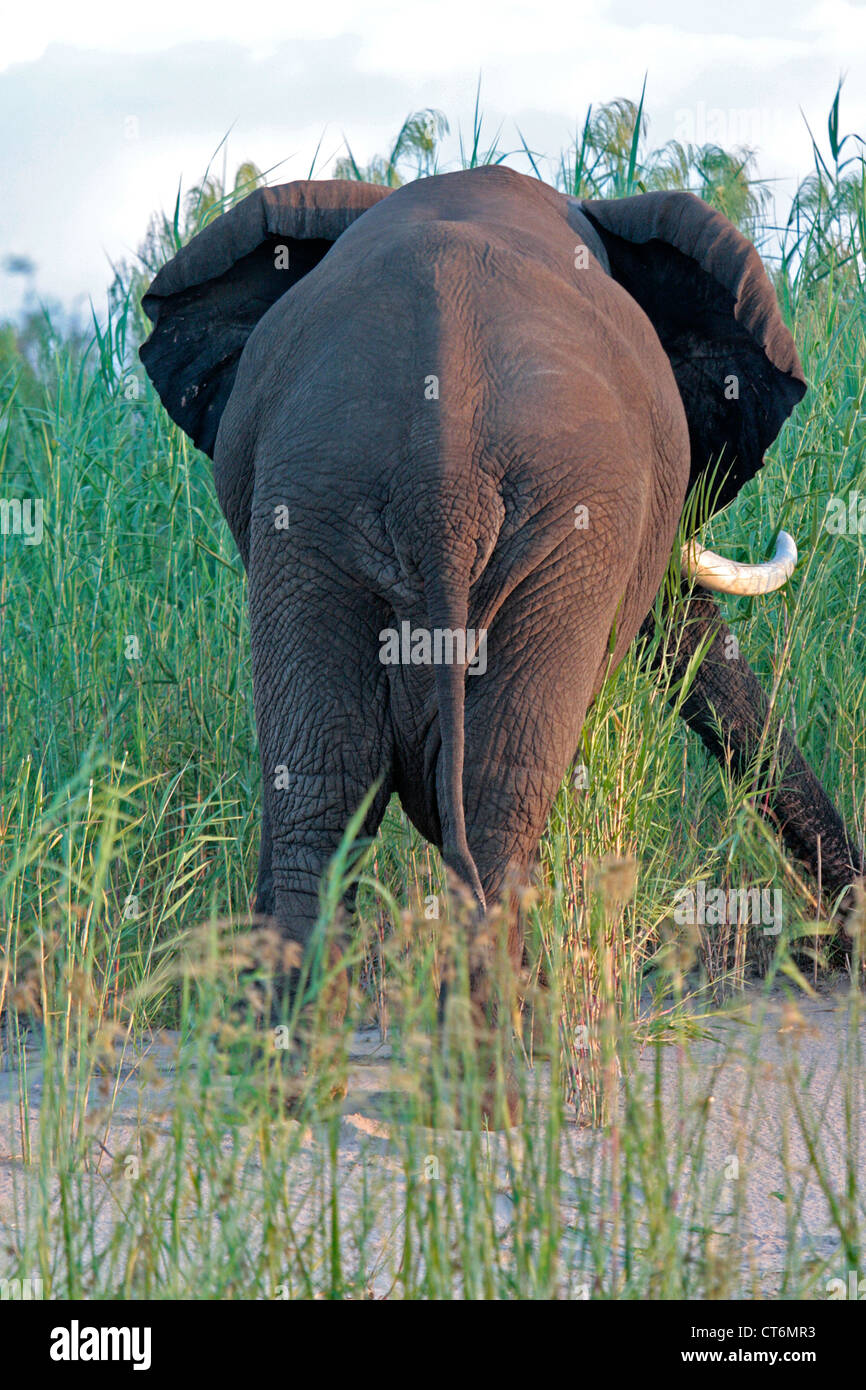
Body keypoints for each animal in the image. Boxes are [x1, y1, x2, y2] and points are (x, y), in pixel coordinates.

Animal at [139, 165, 862, 1040]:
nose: (834, 950)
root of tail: (440, 471)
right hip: (555, 522)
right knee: (495, 794)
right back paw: (502, 1045)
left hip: (311, 509)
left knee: (324, 782)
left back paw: (297, 1050)